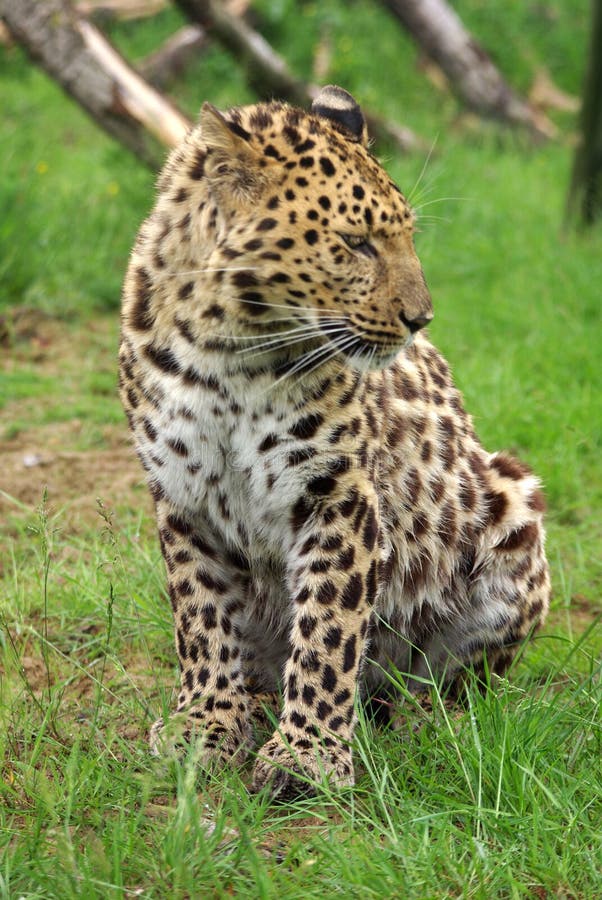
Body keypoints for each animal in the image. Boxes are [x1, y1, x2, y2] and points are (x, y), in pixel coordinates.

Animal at [119, 85, 550, 799]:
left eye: (406, 236)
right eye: (355, 243)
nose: (421, 319)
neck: (227, 351)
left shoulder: (336, 494)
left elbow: (328, 627)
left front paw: (307, 756)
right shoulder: (182, 496)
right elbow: (202, 619)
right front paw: (206, 723)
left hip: (511, 503)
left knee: (453, 681)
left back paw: (423, 718)